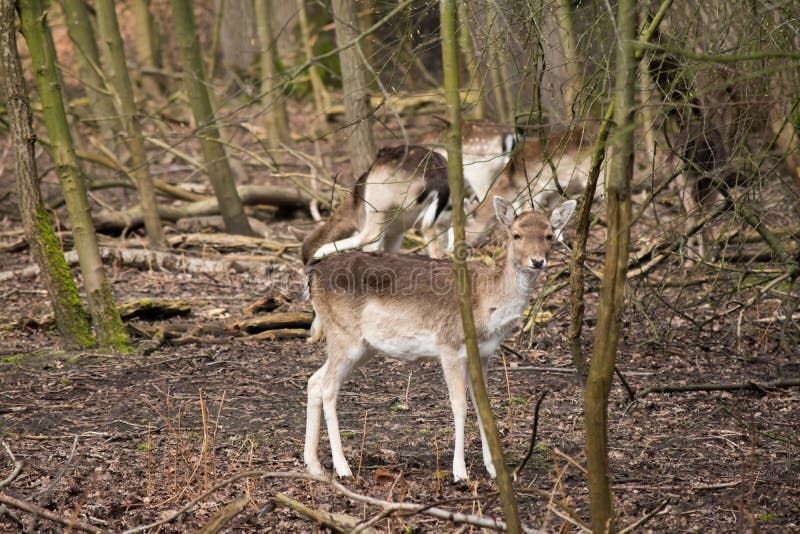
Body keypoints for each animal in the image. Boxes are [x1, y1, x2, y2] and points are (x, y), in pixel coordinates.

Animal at [303, 197, 576, 482]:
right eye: (516, 234)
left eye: (549, 235)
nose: (537, 261)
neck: (487, 304)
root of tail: (312, 274)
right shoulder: (450, 347)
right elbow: (459, 404)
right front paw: (460, 472)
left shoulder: (484, 354)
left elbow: (482, 405)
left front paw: (493, 469)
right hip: (344, 336)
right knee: (328, 388)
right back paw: (342, 467)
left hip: (361, 346)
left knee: (314, 381)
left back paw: (314, 465)